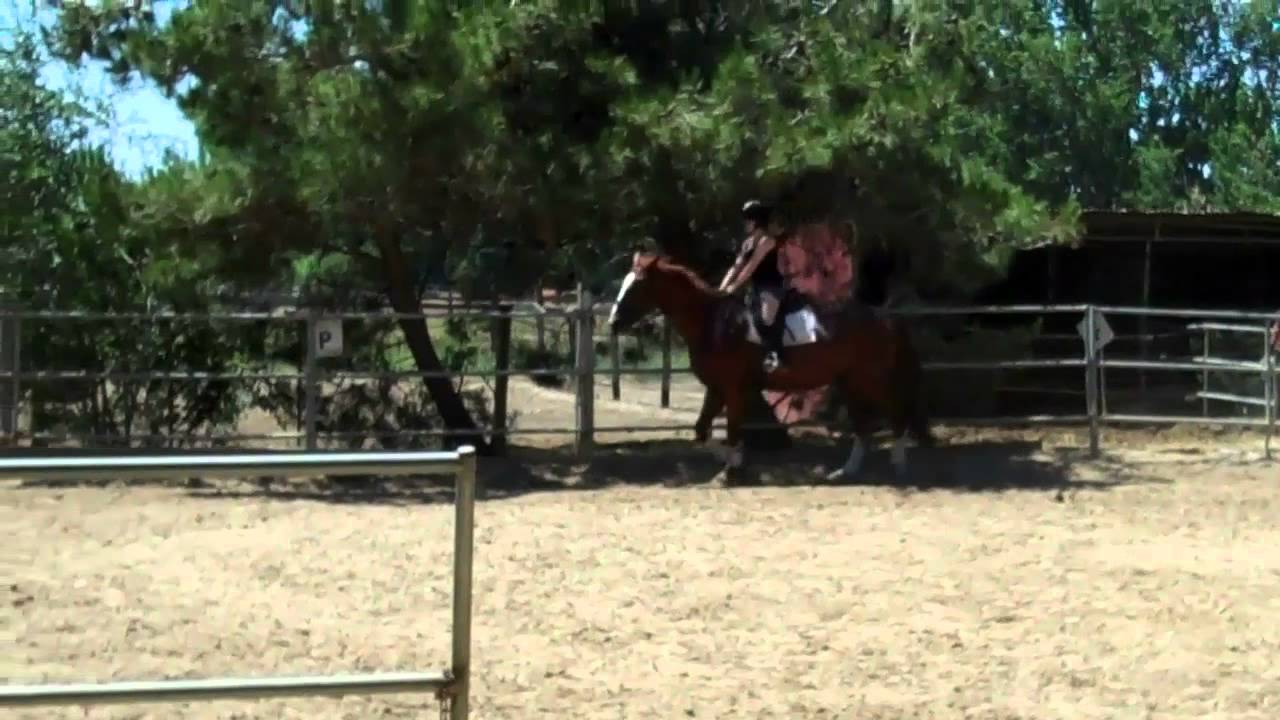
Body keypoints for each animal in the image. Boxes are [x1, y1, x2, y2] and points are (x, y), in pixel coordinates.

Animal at [608, 251, 934, 480]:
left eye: (636, 286)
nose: (613, 323)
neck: (712, 322)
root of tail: (886, 318)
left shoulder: (732, 388)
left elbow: (732, 429)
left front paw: (732, 469)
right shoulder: (716, 388)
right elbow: (701, 430)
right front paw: (730, 463)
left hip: (872, 380)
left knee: (897, 416)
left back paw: (898, 465)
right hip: (850, 382)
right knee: (864, 426)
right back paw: (846, 471)